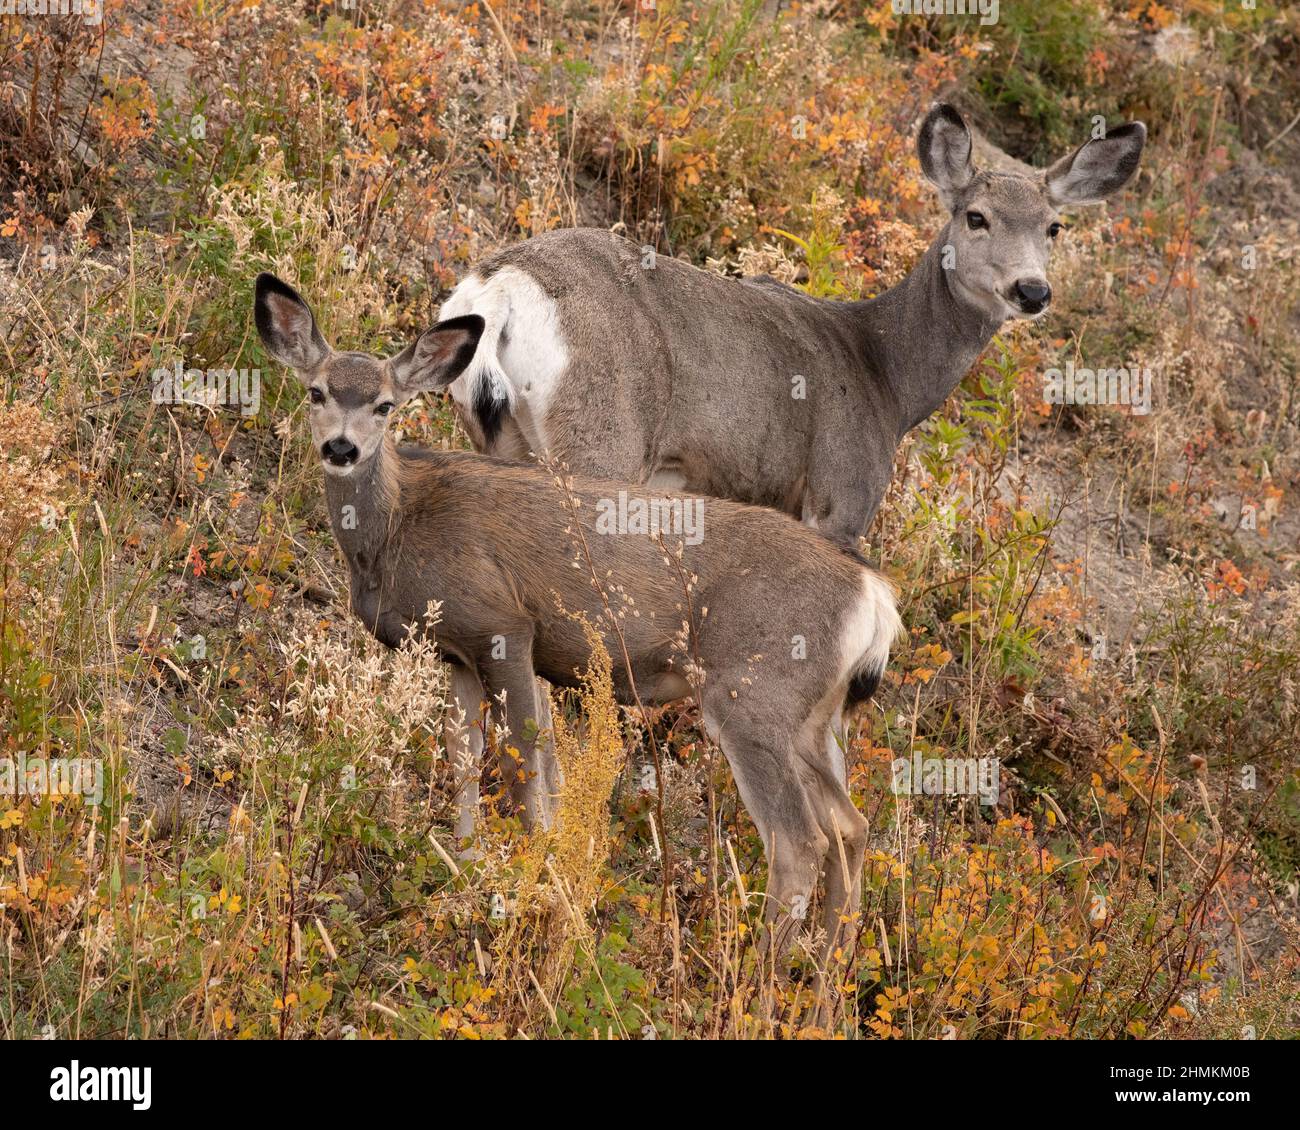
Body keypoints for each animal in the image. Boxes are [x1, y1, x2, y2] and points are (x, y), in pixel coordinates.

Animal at [253, 272, 903, 977]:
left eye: (384, 405)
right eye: (316, 391)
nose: (341, 448)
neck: (399, 527)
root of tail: (874, 597)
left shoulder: (504, 623)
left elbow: (524, 766)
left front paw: (531, 880)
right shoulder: (455, 651)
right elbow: (465, 759)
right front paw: (466, 867)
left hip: (754, 697)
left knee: (800, 842)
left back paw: (757, 985)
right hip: (814, 718)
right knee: (851, 828)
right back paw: (827, 981)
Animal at [437, 103, 1147, 551]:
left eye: (1054, 228)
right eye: (976, 217)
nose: (1032, 291)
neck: (886, 380)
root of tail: (501, 286)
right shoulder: (839, 498)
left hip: (501, 440)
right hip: (603, 439)